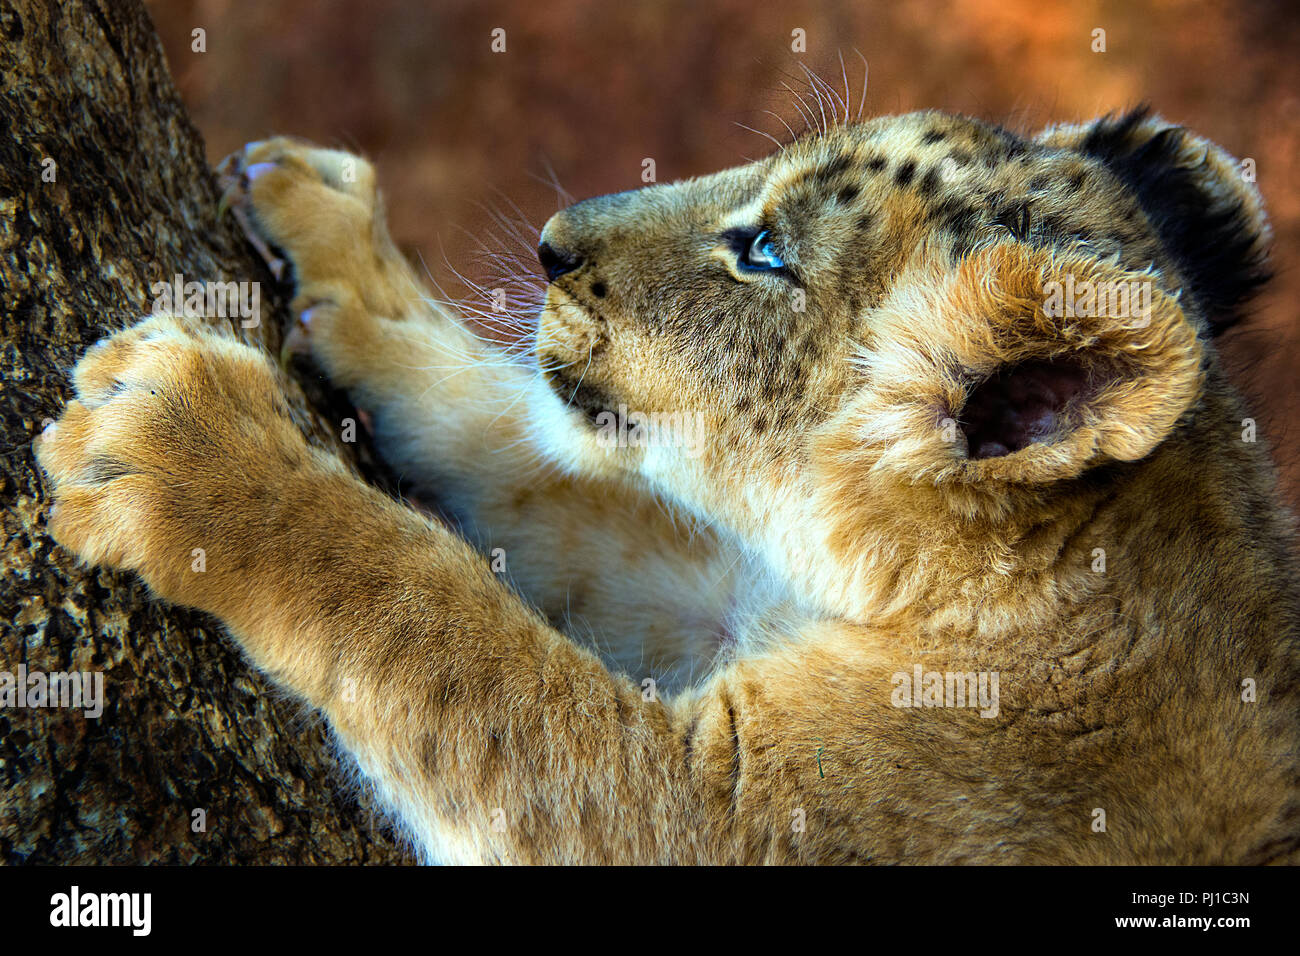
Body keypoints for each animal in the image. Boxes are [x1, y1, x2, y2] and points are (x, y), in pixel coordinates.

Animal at [34, 107, 1300, 863]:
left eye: (766, 254)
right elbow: (515, 442)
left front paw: (190, 446)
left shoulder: (723, 812)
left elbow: (440, 624)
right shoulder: (716, 596)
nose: (550, 243)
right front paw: (341, 241)